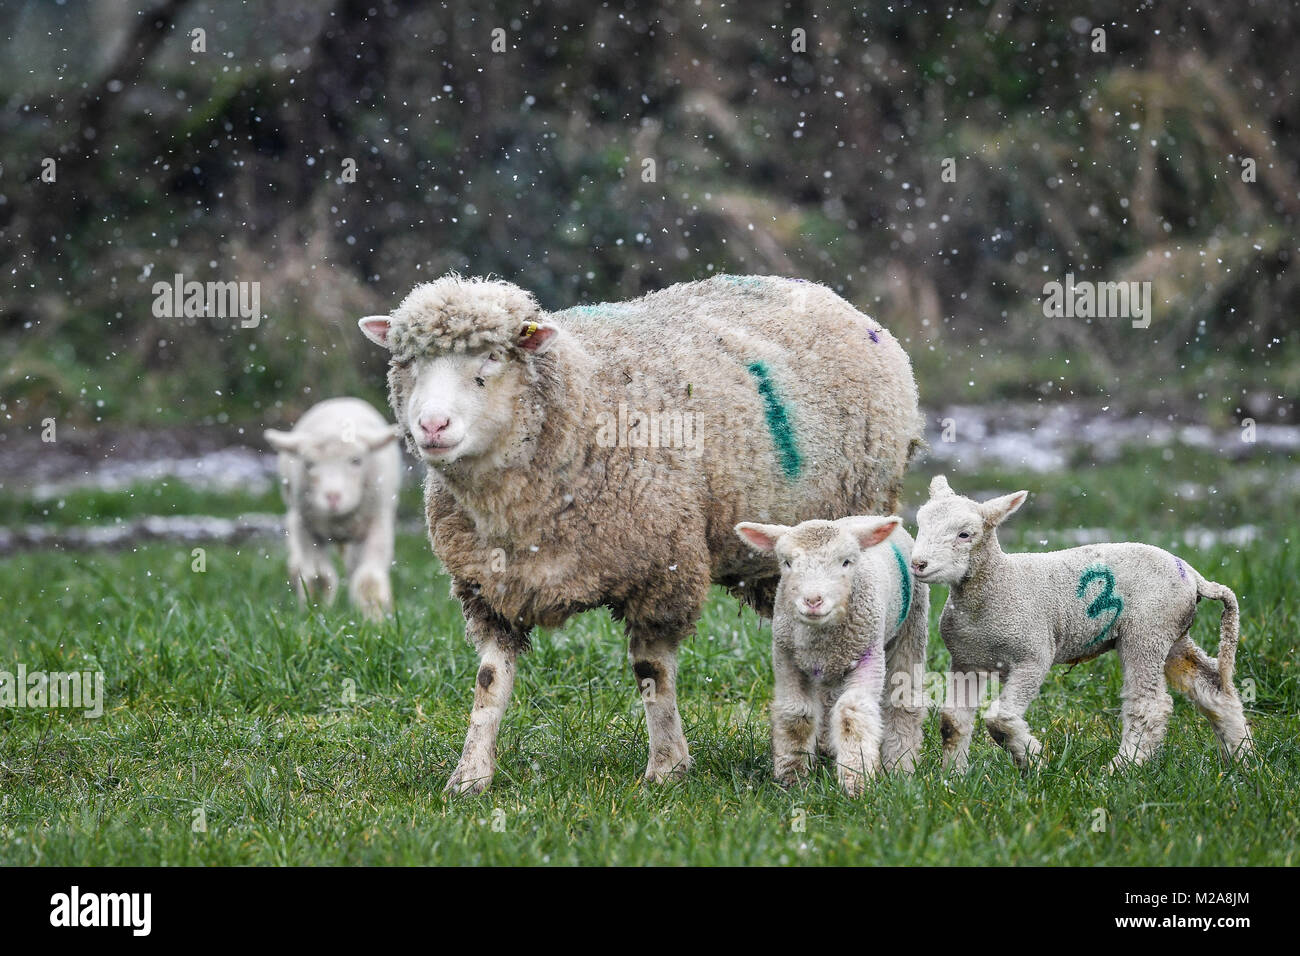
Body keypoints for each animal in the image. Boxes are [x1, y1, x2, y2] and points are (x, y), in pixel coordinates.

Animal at [264, 397, 402, 620]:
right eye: (309, 464)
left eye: (356, 460)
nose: (333, 497)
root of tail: (341, 400)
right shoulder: (308, 529)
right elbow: (319, 577)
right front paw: (315, 613)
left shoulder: (377, 525)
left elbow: (368, 578)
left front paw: (375, 618)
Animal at [734, 515, 928, 795]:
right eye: (787, 562)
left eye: (846, 562)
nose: (813, 600)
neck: (820, 638)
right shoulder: (786, 657)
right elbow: (795, 713)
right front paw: (792, 778)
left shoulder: (868, 655)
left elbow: (852, 713)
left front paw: (856, 780)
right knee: (826, 702)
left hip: (912, 626)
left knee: (903, 702)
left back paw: (900, 767)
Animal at [912, 475, 1253, 771]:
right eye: (920, 524)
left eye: (965, 534)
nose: (918, 564)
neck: (998, 584)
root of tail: (1194, 576)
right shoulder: (967, 660)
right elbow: (952, 722)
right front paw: (952, 777)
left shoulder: (1033, 656)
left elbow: (1000, 719)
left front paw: (1034, 760)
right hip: (1172, 632)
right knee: (1213, 689)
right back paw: (1244, 759)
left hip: (1147, 630)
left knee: (1149, 705)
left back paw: (1121, 769)